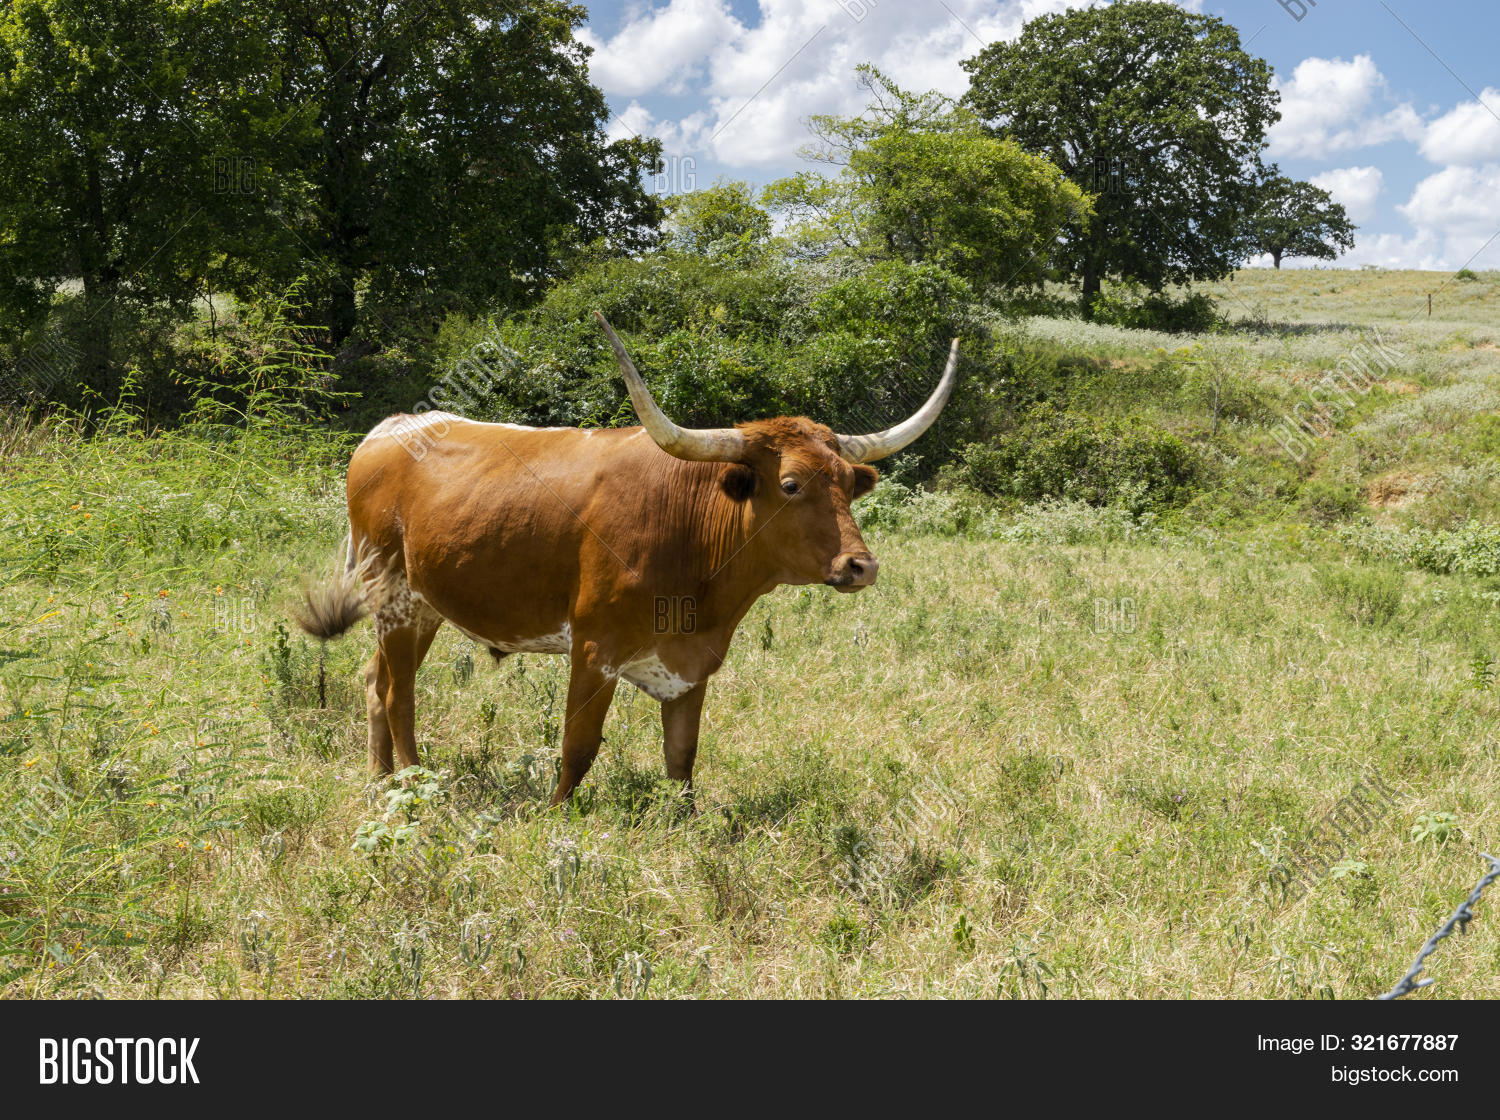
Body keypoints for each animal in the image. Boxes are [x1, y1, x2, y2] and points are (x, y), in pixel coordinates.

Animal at [294, 312, 960, 806]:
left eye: (849, 482)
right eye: (791, 484)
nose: (860, 566)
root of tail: (391, 429)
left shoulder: (691, 665)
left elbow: (682, 760)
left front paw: (683, 826)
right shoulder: (594, 649)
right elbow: (578, 747)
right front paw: (555, 821)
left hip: (424, 605)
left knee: (375, 681)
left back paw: (379, 784)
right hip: (393, 597)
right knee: (398, 696)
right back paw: (416, 789)